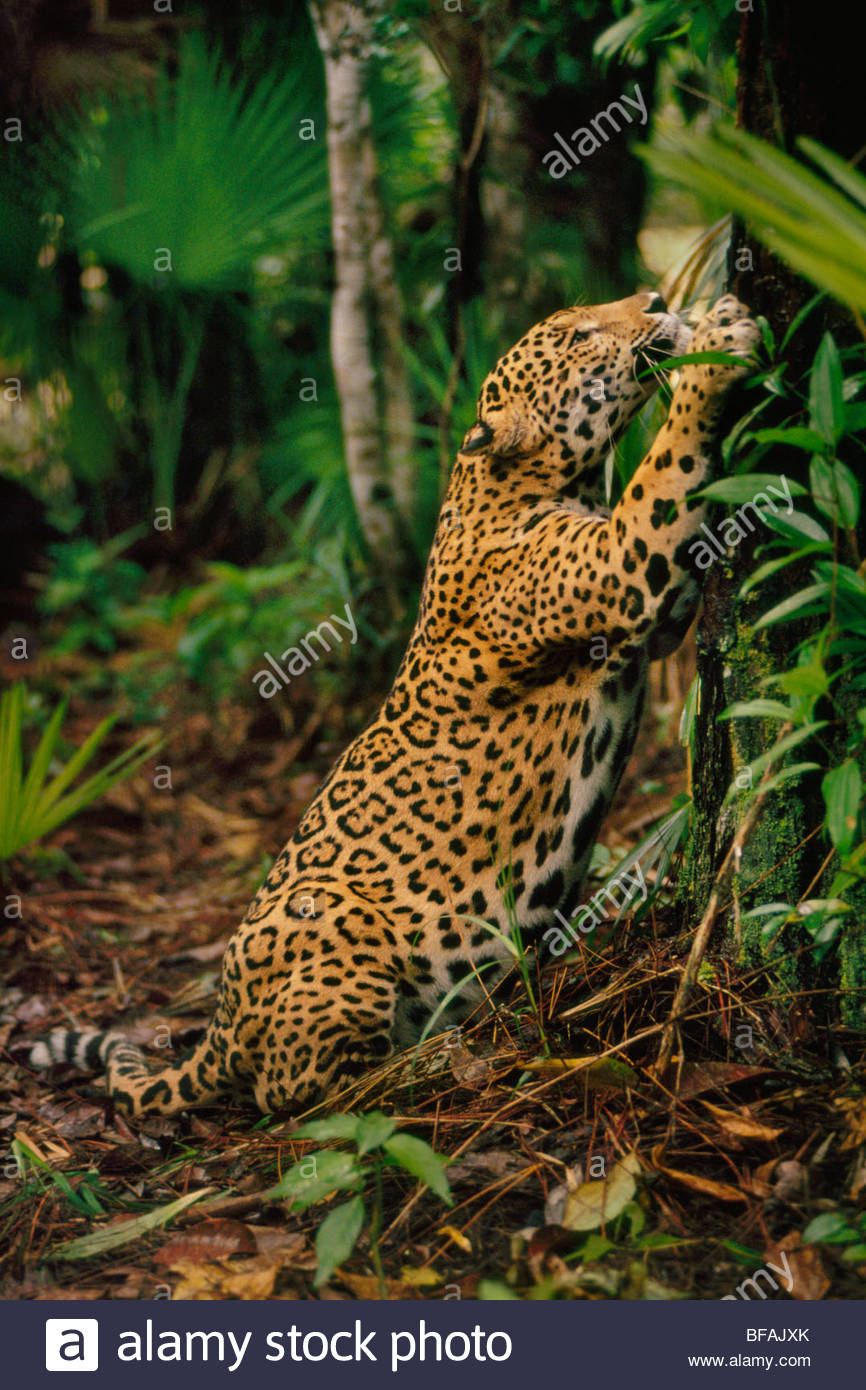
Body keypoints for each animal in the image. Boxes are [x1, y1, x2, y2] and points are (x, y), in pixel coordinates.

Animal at [28, 290, 759, 1116]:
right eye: (579, 335)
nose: (658, 299)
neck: (514, 482)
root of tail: (217, 1028)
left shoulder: (651, 617)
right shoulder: (625, 564)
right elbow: (665, 467)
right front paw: (719, 341)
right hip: (333, 922)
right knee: (292, 1093)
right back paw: (420, 1065)